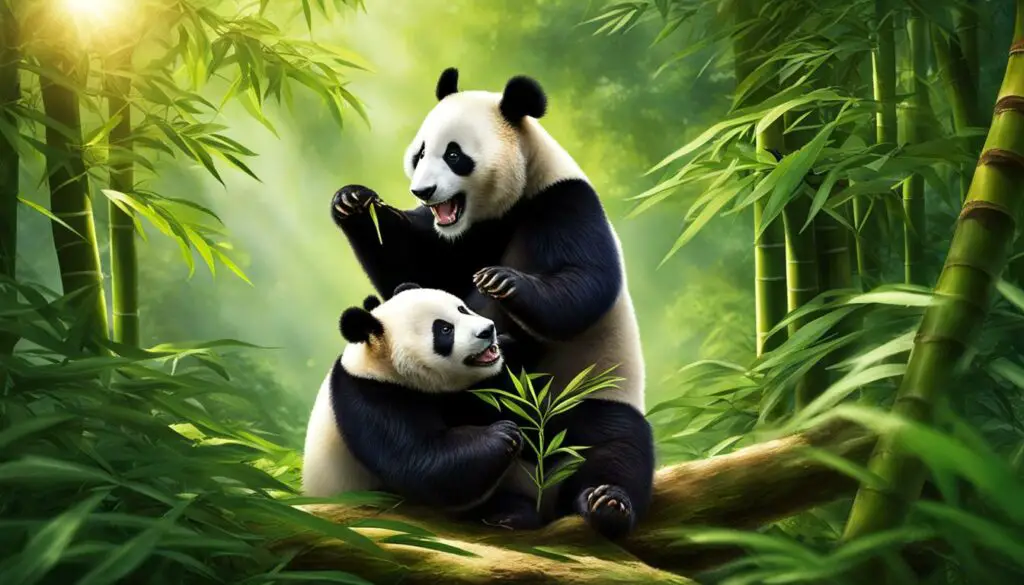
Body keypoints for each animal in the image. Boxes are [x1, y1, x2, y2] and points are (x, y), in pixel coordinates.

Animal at [302, 282, 527, 511]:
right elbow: (422, 462)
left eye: (462, 309)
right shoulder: (369, 399)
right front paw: (503, 434)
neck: (378, 366)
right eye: (445, 329)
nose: (488, 330)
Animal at [328, 68, 654, 539]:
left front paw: (503, 282)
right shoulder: (460, 237)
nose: (423, 191)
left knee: (614, 442)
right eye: (419, 152)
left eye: (454, 154)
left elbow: (584, 282)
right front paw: (353, 202)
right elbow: (416, 267)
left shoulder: (562, 202)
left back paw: (606, 504)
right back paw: (509, 511)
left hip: (583, 395)